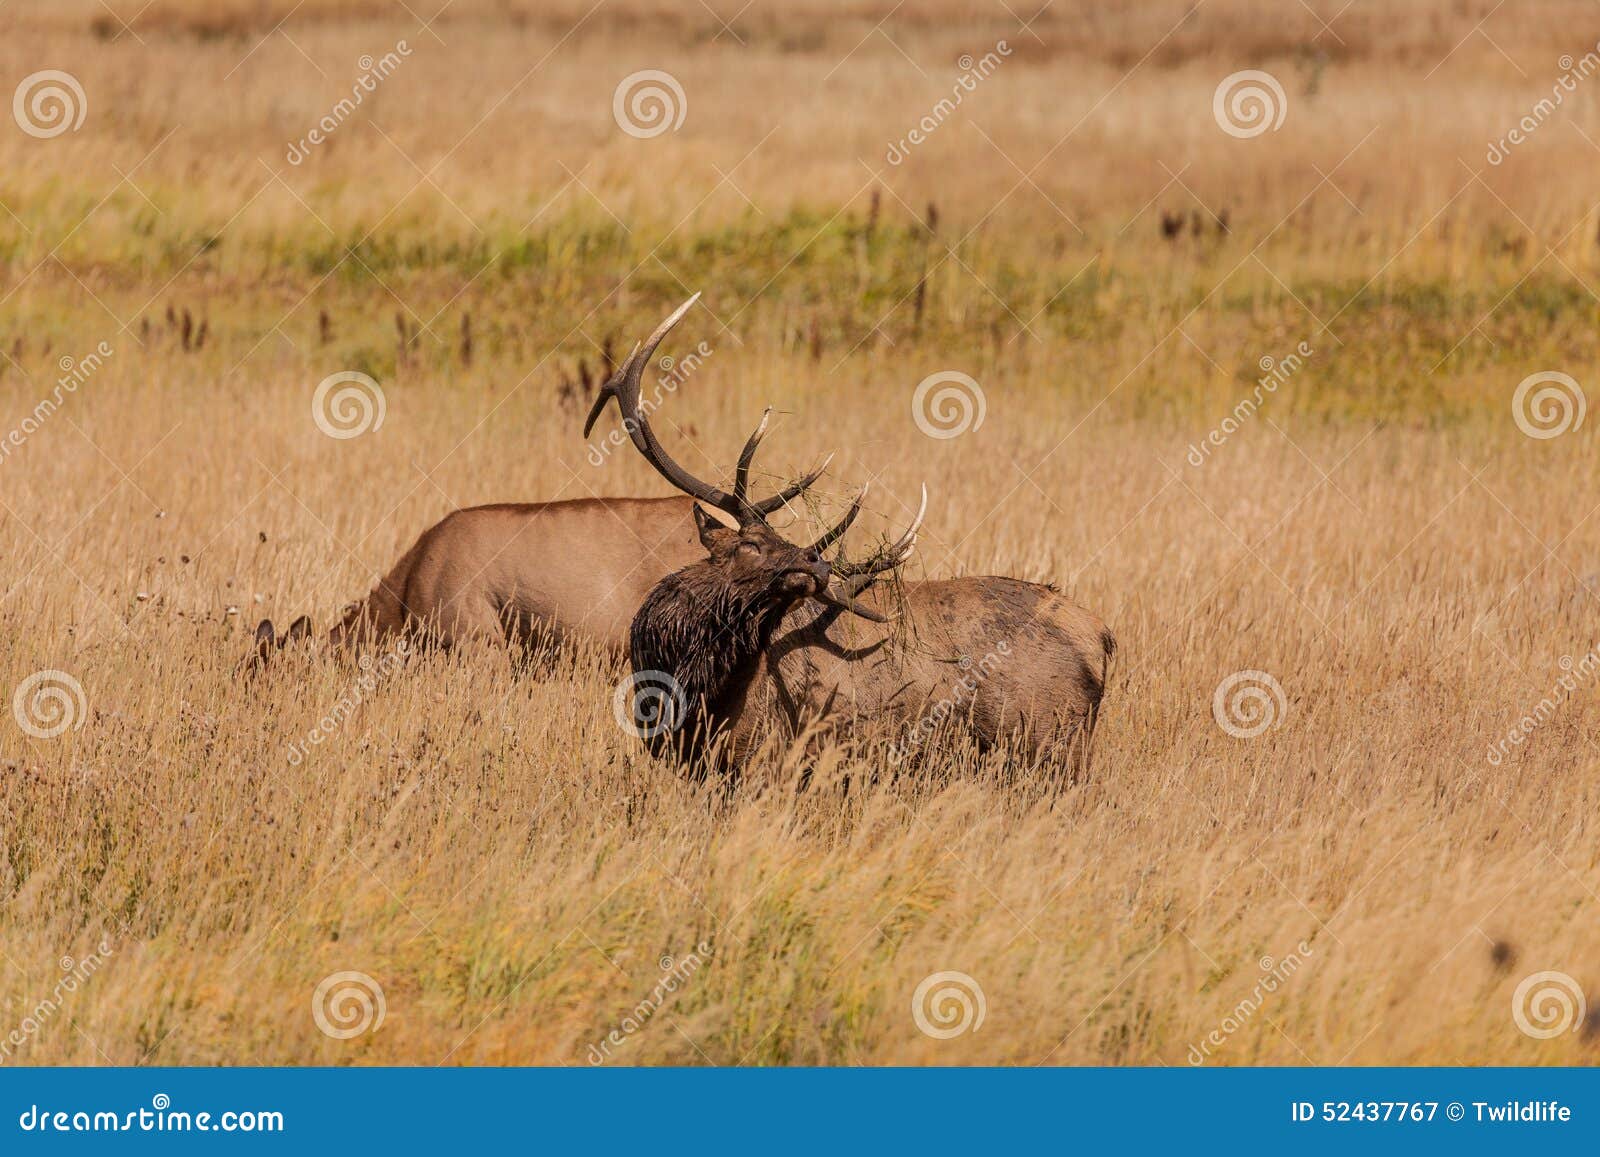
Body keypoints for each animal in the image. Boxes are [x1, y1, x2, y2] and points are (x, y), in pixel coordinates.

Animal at [603, 298, 1115, 778]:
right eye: (750, 545)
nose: (815, 564)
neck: (685, 689)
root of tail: (1101, 637)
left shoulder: (762, 759)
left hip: (1048, 744)